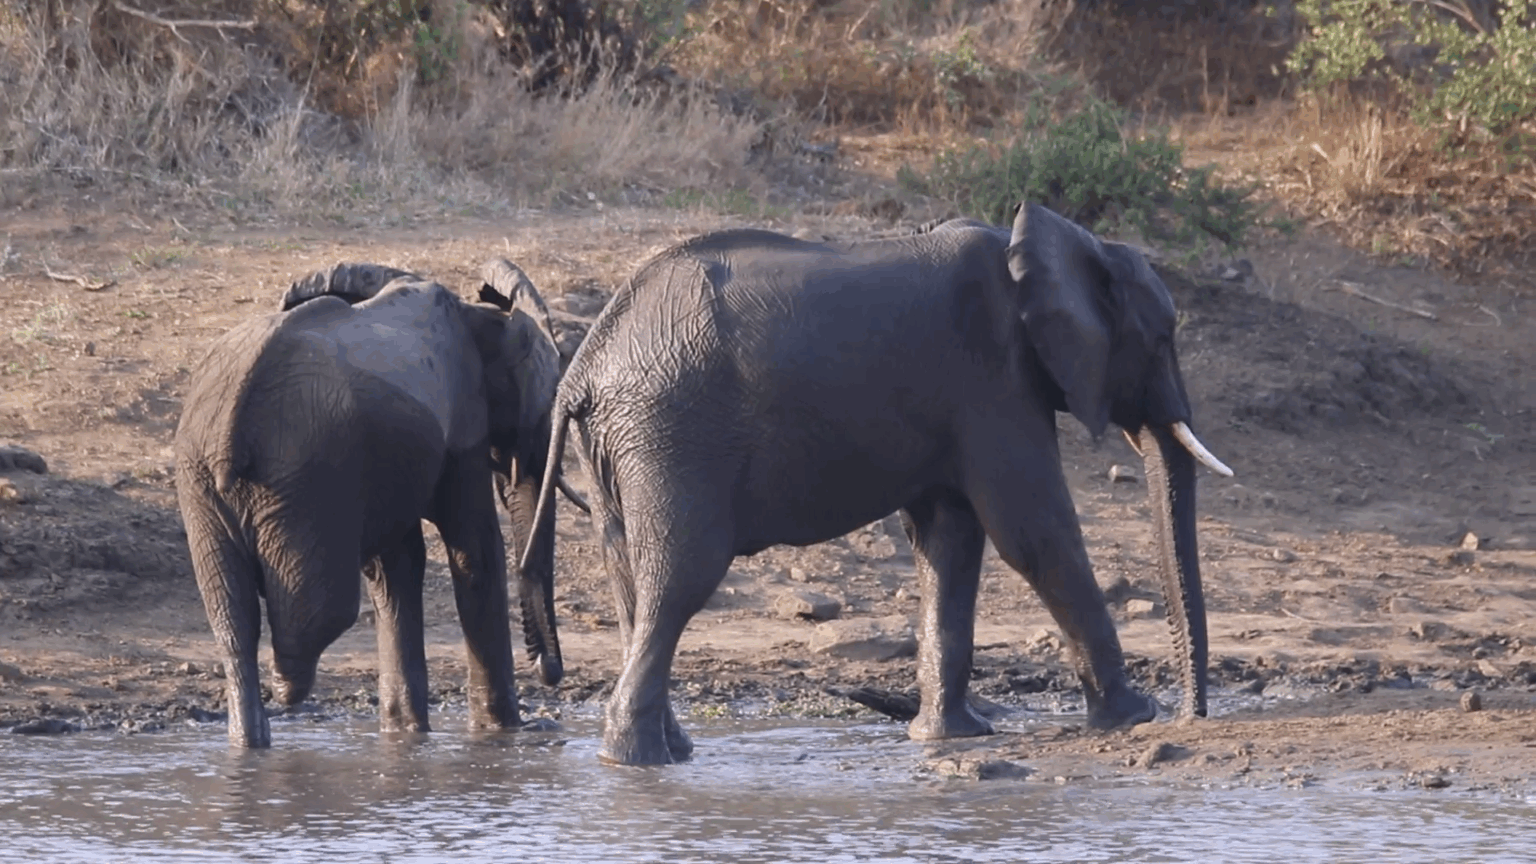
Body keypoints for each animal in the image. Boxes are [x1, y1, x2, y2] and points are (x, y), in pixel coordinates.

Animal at [175, 259, 567, 747]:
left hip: (204, 486)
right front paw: (501, 732)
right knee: (317, 612)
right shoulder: (463, 424)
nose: (548, 672)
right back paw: (286, 688)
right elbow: (474, 553)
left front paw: (406, 735)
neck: (478, 315)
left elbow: (397, 565)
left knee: (232, 619)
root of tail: (228, 421)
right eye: (547, 406)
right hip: (306, 474)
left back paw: (251, 741)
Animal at [522, 201, 1232, 766]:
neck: (1056, 243)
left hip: (623, 445)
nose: (1191, 713)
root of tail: (583, 365)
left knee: (633, 586)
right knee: (678, 581)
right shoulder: (994, 379)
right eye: (1162, 337)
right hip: (671, 433)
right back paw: (640, 762)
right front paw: (1133, 716)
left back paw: (666, 753)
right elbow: (1034, 533)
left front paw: (951, 738)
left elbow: (950, 542)